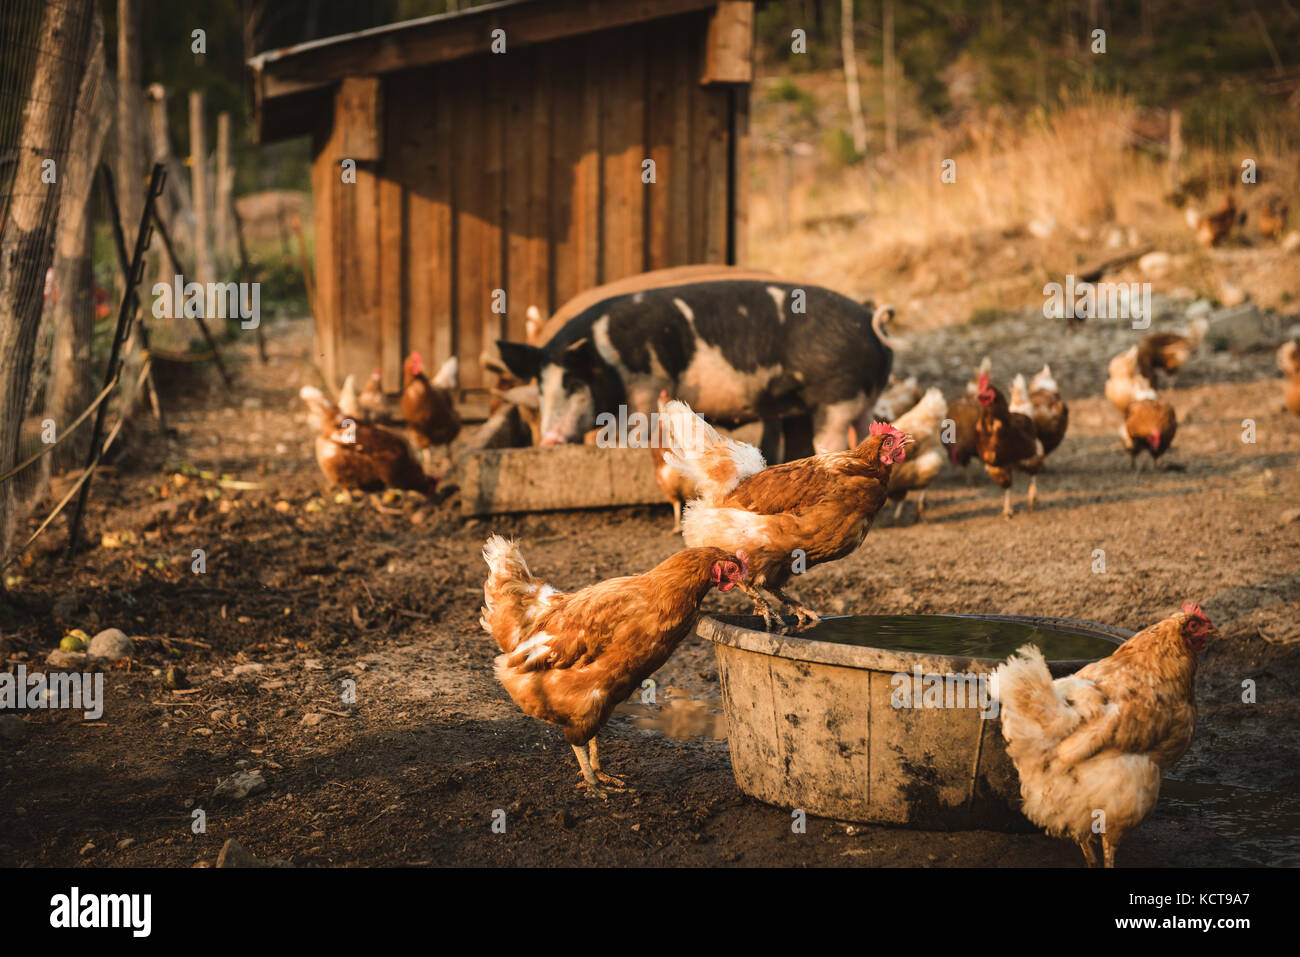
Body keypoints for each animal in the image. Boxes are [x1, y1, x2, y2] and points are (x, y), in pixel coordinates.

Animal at [494, 280, 905, 456]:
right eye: (541, 387)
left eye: (574, 383)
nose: (548, 439)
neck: (606, 350)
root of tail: (870, 321)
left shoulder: (647, 382)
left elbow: (635, 430)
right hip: (861, 400)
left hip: (836, 397)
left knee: (832, 441)